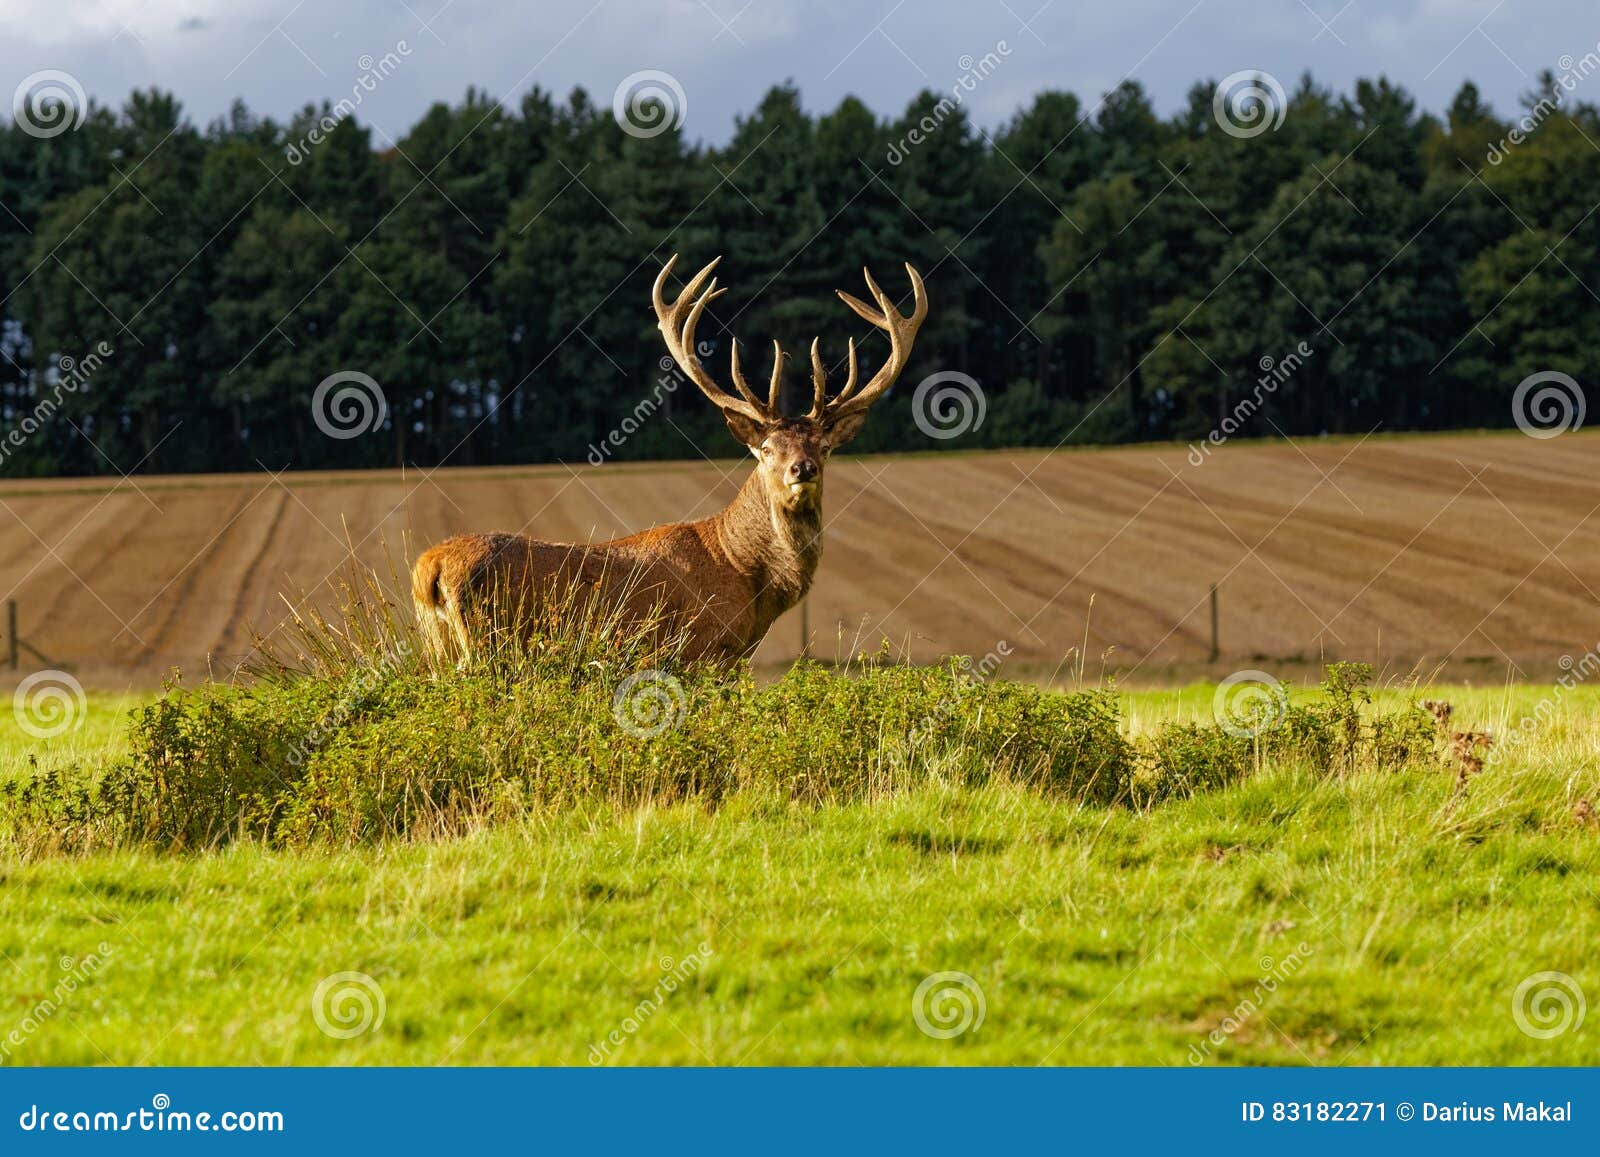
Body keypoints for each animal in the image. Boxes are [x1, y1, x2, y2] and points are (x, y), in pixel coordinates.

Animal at [411, 254, 928, 665]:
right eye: (766, 450)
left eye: (823, 445)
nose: (803, 469)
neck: (741, 569)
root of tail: (429, 569)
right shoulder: (700, 651)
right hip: (487, 642)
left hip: (439, 649)